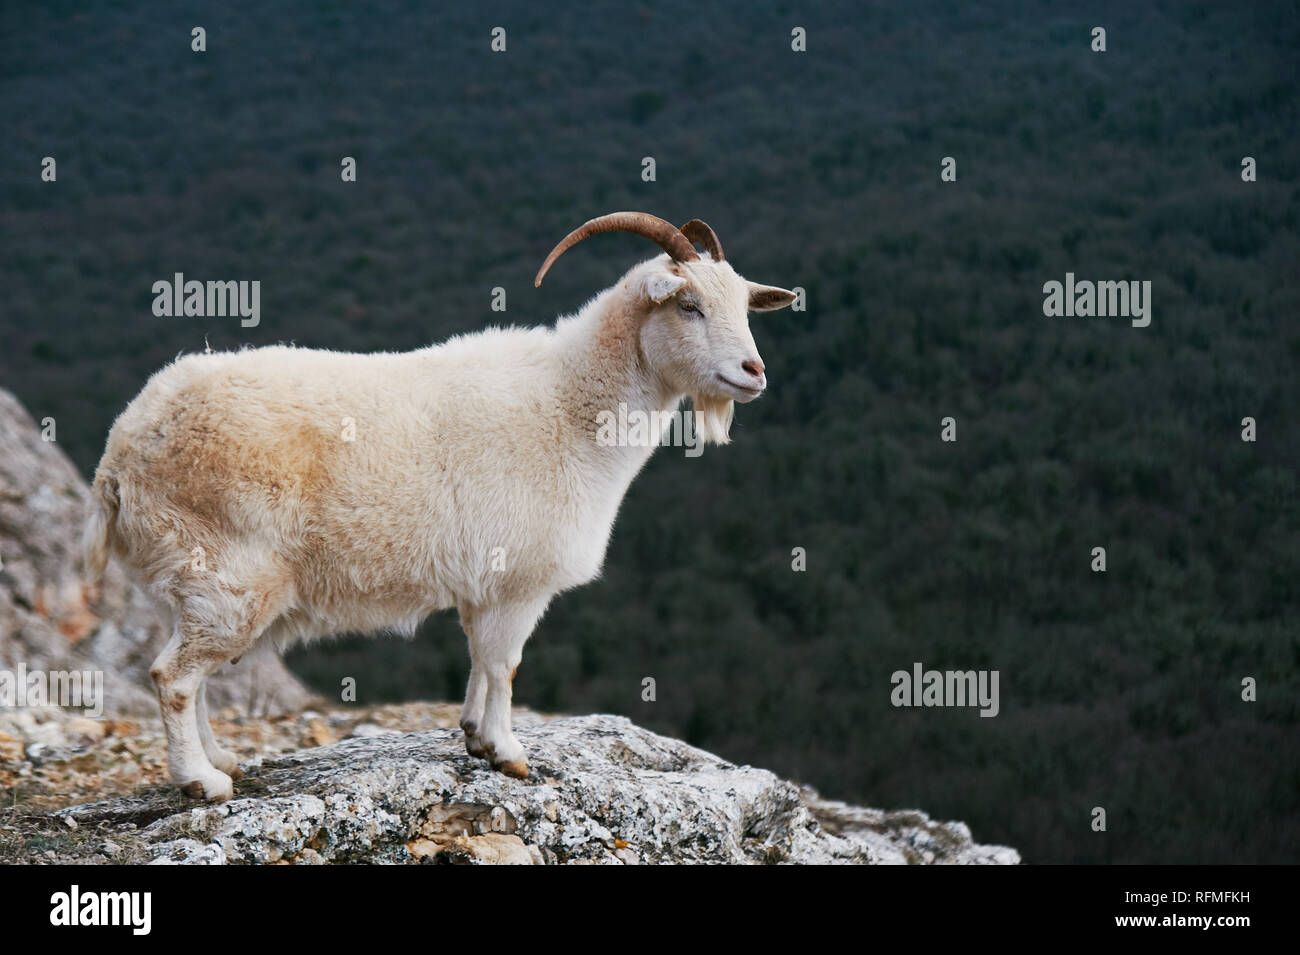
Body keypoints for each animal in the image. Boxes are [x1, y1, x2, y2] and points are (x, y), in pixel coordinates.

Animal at [84, 212, 796, 800]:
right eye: (688, 305)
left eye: (745, 305)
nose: (754, 372)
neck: (570, 407)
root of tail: (122, 450)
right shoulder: (518, 581)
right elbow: (506, 664)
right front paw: (511, 754)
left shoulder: (485, 585)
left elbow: (481, 661)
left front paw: (476, 738)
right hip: (225, 573)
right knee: (174, 677)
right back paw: (201, 782)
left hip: (184, 580)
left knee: (190, 673)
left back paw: (220, 759)